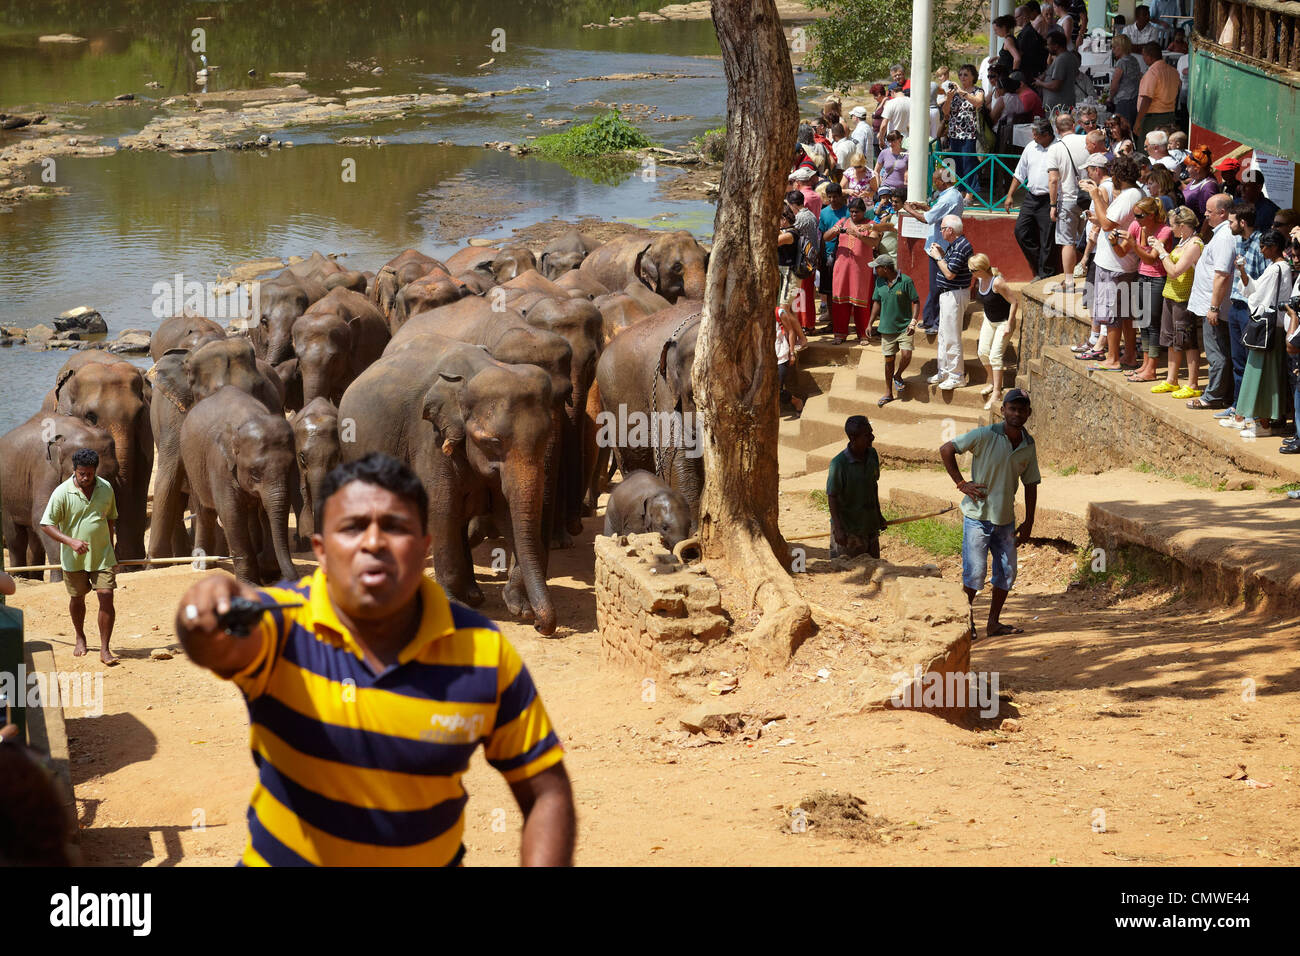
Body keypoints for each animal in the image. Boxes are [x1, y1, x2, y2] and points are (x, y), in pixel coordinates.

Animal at [1, 413, 119, 581]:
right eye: (83, 473)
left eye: (116, 471)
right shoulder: (45, 469)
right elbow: (42, 518)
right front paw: (61, 579)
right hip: (6, 496)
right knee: (15, 539)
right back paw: (19, 577)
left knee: (33, 539)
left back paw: (34, 579)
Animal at [179, 386, 298, 584]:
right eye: (255, 473)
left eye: (291, 468)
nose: (293, 579)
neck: (249, 418)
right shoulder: (219, 465)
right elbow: (231, 513)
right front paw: (250, 584)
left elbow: (266, 512)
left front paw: (267, 573)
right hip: (191, 467)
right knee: (205, 512)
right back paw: (202, 564)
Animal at [339, 333, 558, 634]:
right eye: (494, 442)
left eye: (547, 437)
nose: (538, 625)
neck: (476, 372)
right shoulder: (429, 438)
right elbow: (441, 511)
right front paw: (453, 604)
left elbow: (507, 513)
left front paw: (518, 606)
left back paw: (474, 595)